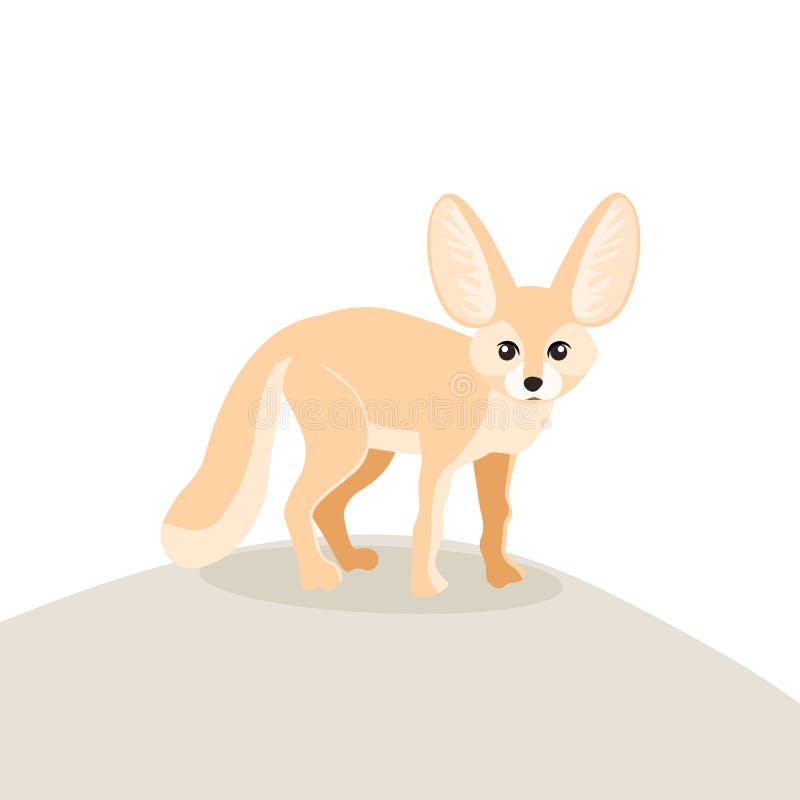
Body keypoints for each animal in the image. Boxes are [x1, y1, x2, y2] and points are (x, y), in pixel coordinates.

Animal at [162, 193, 639, 597]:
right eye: (507, 350)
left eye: (559, 350)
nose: (533, 384)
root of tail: (298, 329)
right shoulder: (439, 459)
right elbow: (429, 522)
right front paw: (427, 588)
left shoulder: (496, 459)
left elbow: (497, 517)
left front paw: (500, 575)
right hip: (346, 447)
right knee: (295, 505)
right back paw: (318, 576)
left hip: (372, 455)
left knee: (326, 507)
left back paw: (351, 561)